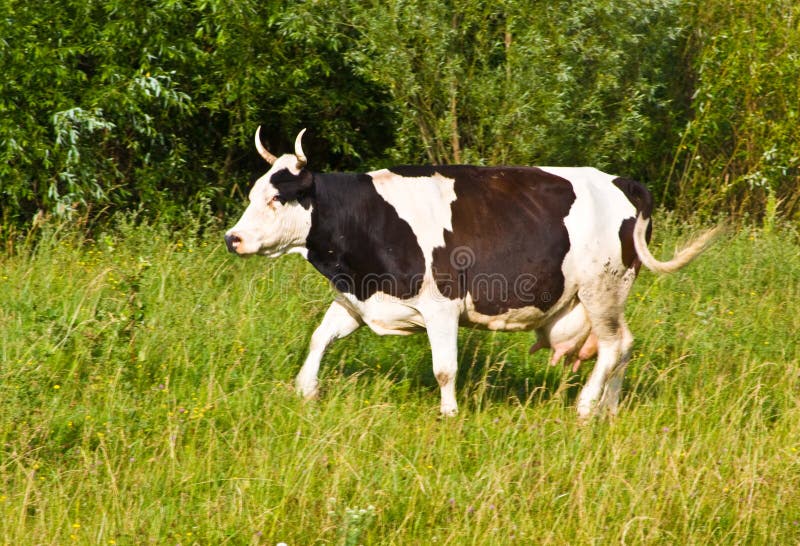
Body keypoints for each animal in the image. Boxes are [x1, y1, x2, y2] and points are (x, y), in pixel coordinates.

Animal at [225, 127, 720, 419]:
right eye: (252, 193)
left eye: (276, 198)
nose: (233, 238)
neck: (368, 218)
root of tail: (620, 181)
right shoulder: (359, 299)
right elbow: (319, 338)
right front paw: (305, 390)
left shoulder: (441, 305)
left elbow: (445, 368)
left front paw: (449, 415)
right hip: (607, 296)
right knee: (623, 346)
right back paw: (609, 409)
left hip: (603, 288)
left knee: (613, 346)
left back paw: (584, 408)